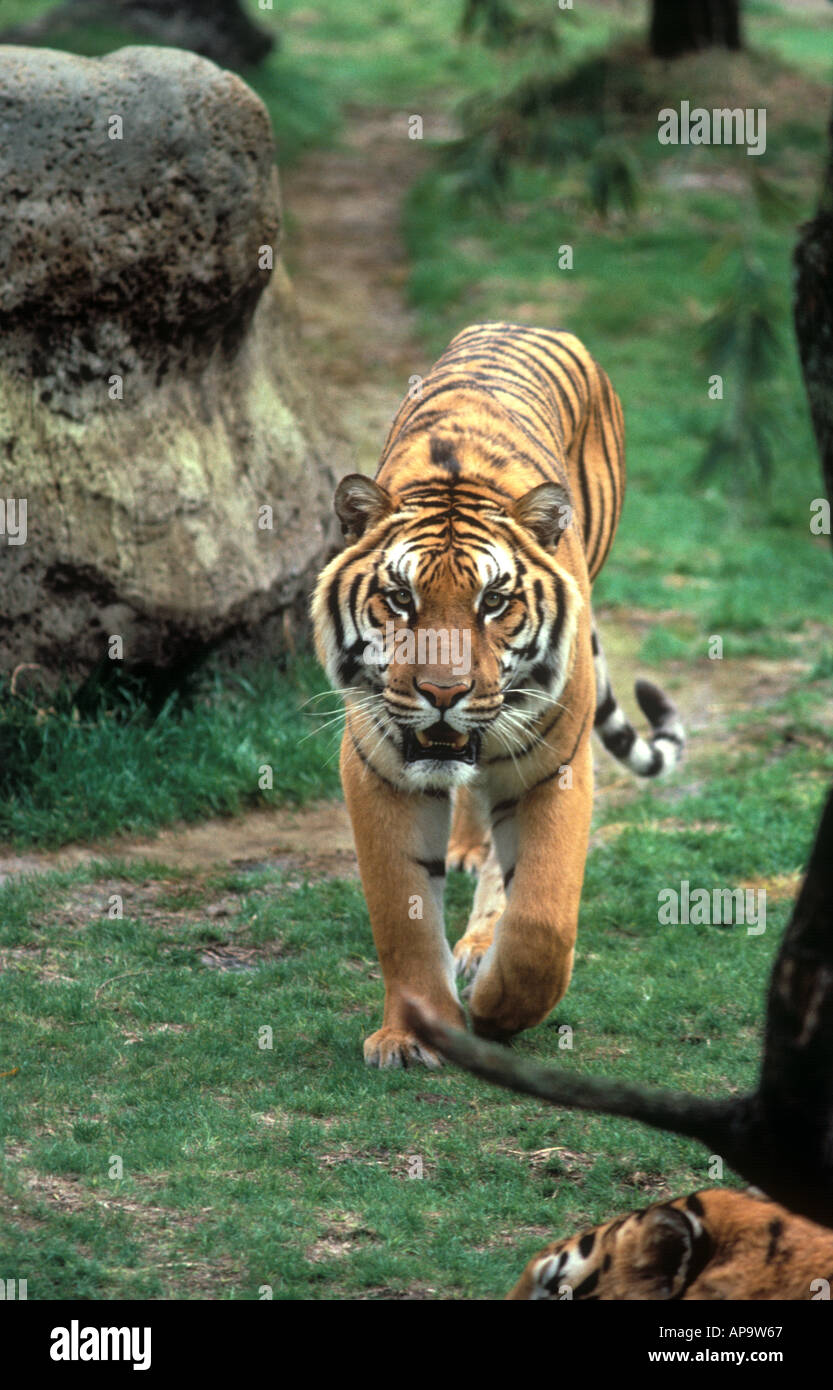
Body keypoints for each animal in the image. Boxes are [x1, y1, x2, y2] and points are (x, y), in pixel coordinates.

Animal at [311, 323, 684, 1068]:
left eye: (493, 601)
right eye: (401, 599)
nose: (443, 692)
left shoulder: (556, 763)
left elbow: (541, 921)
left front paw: (494, 1007)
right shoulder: (376, 767)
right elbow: (401, 913)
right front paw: (410, 1035)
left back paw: (481, 944)